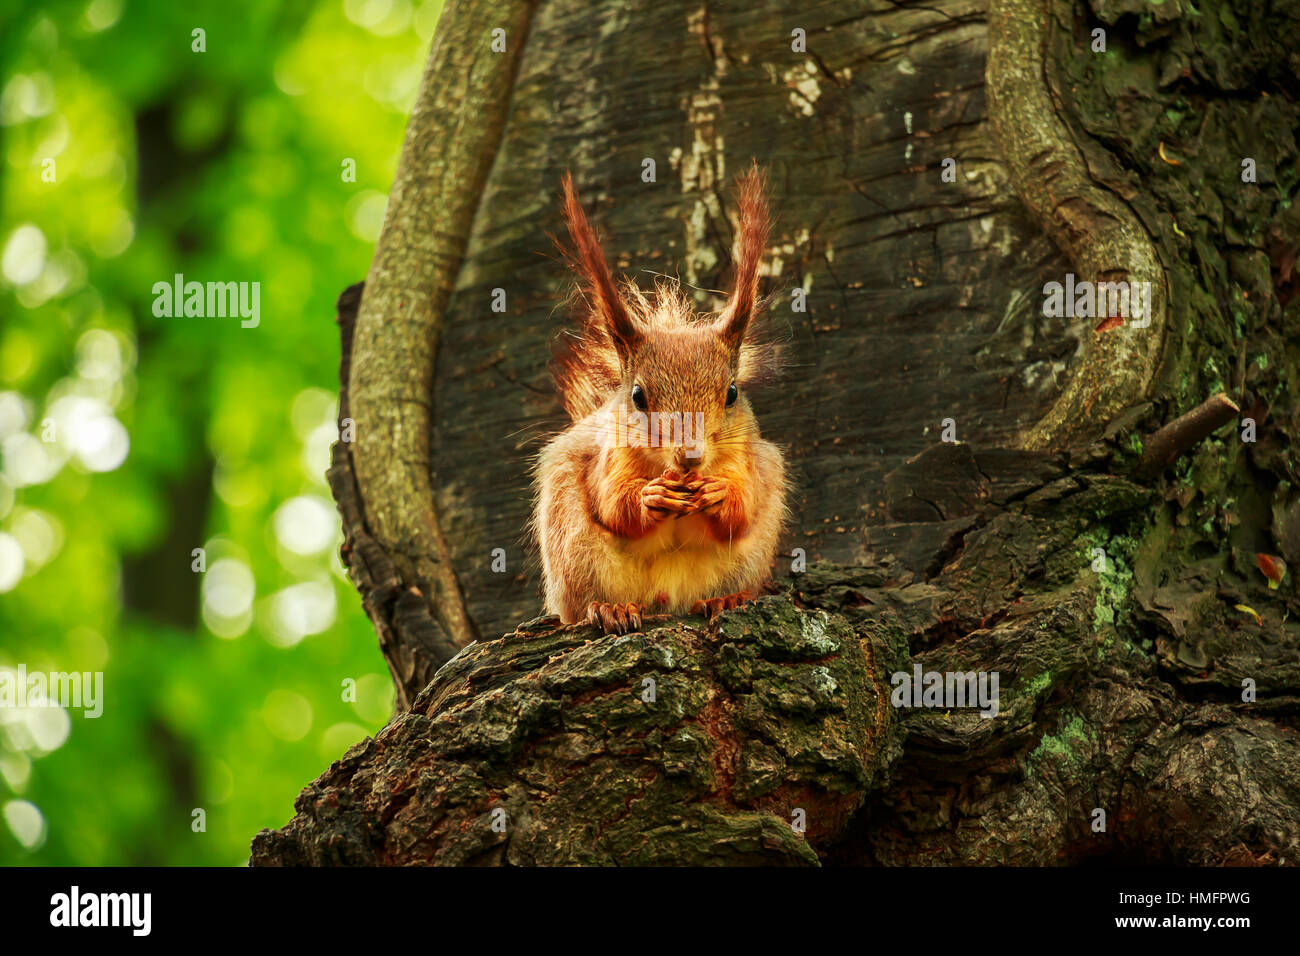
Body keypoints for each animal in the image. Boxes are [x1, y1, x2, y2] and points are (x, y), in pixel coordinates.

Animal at [532, 163, 788, 635]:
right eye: (637, 396)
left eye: (732, 393)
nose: (690, 457)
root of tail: (665, 600)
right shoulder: (610, 457)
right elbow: (613, 503)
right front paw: (650, 496)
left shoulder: (746, 458)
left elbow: (743, 506)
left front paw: (719, 492)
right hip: (574, 552)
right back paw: (610, 609)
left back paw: (727, 599)